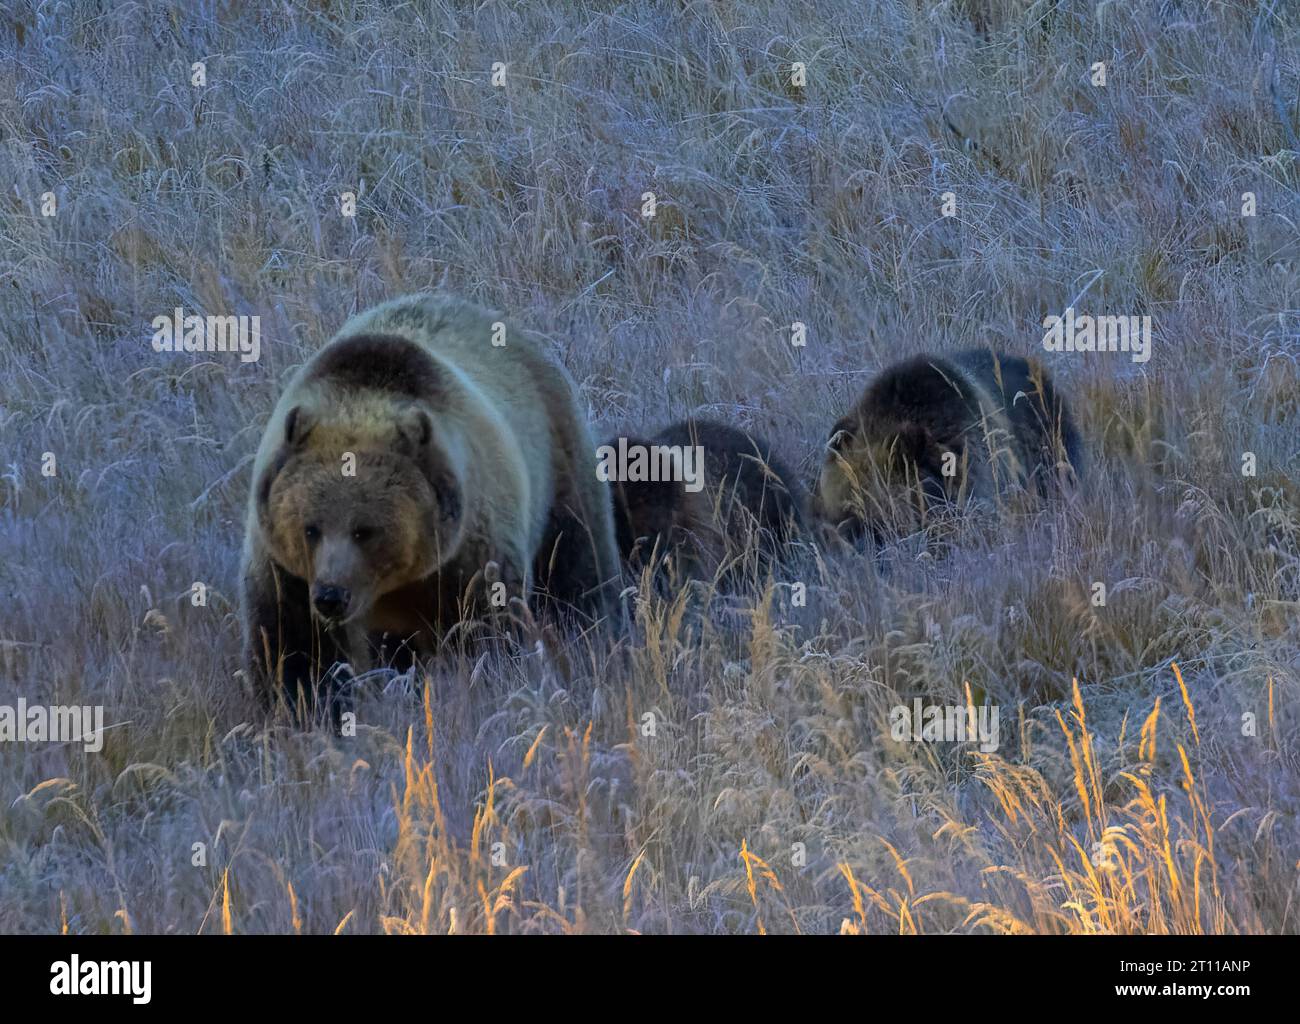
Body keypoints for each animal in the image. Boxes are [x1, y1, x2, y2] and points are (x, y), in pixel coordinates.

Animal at [240, 292, 622, 722]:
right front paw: (300, 710)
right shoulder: (283, 569)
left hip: (557, 465)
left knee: (578, 564)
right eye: (310, 528)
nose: (331, 596)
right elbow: (293, 648)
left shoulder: (470, 554)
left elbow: (483, 632)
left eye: (364, 529)